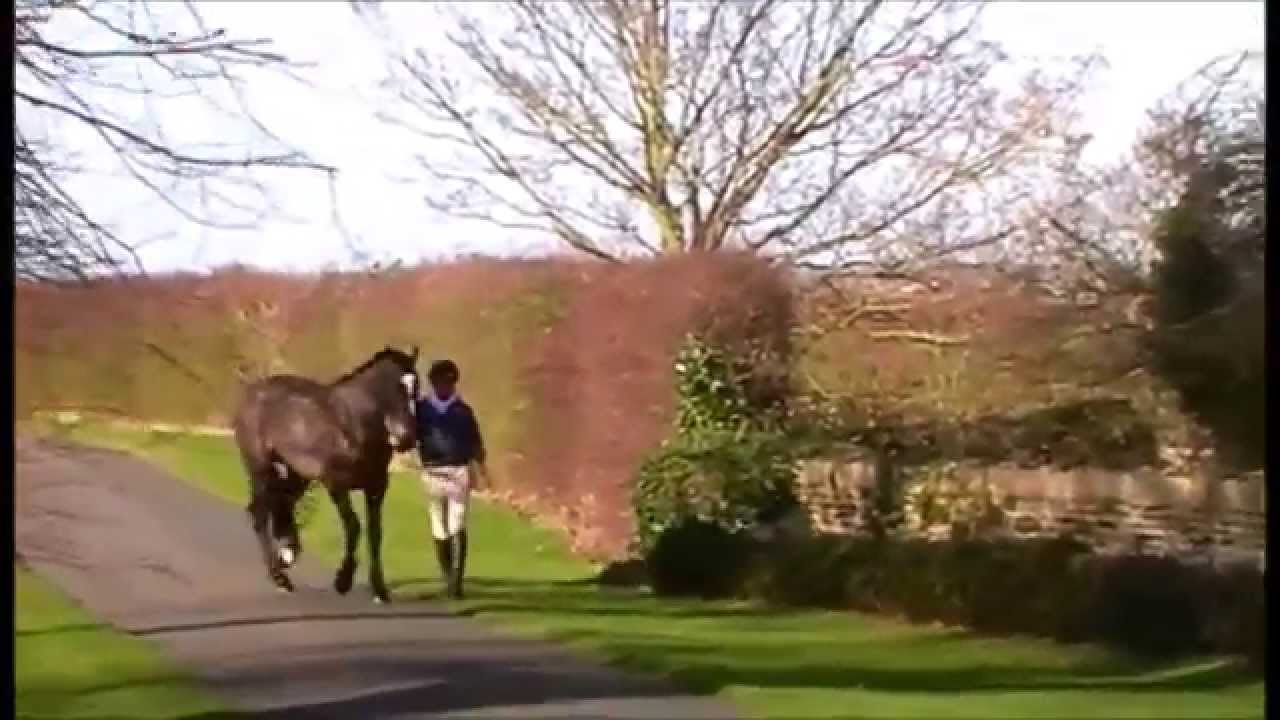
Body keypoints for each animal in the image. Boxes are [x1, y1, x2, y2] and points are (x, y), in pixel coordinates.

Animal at [231, 345, 420, 603]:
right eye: (389, 387)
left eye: (416, 387)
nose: (406, 438)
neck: (353, 425)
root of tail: (252, 392)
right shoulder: (336, 485)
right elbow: (354, 527)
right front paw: (343, 581)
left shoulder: (376, 488)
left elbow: (375, 533)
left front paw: (380, 590)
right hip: (260, 468)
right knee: (260, 514)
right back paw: (280, 577)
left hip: (295, 475)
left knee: (281, 507)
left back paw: (287, 556)